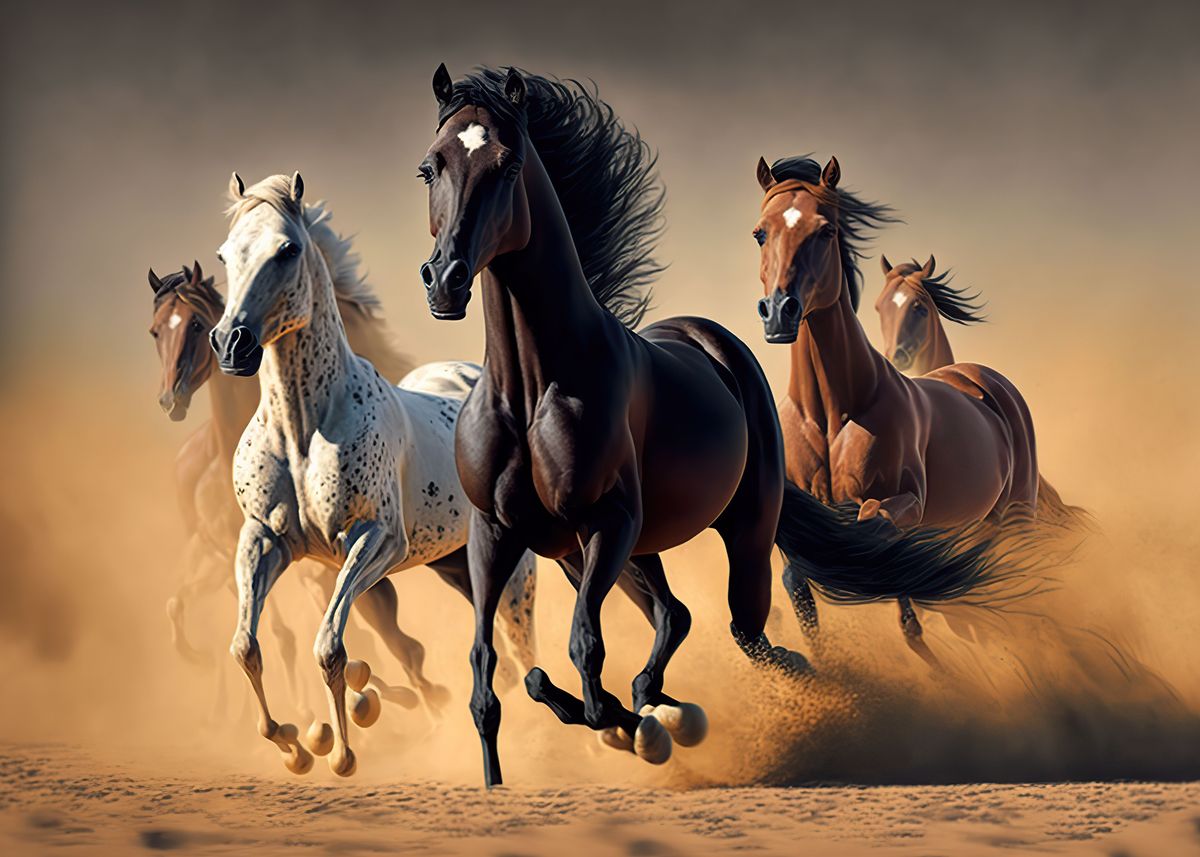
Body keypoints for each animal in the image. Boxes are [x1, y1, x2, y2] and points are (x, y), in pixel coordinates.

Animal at [209, 173, 538, 778]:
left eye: (287, 249)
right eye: (225, 253)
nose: (231, 343)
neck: (304, 430)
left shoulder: (376, 539)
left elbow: (329, 648)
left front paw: (341, 751)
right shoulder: (263, 539)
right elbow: (246, 646)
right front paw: (292, 744)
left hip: (515, 579)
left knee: (524, 652)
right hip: (456, 566)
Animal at [418, 66, 1011, 787]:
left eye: (505, 166)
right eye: (431, 166)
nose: (445, 279)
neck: (533, 388)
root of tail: (710, 335)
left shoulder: (607, 520)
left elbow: (586, 648)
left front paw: (645, 723)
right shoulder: (497, 532)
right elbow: (495, 676)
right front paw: (514, 766)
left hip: (732, 529)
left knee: (747, 633)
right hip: (606, 551)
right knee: (675, 615)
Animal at [752, 154, 1042, 640]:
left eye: (825, 231)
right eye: (760, 232)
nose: (779, 313)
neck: (833, 414)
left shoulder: (907, 502)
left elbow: (875, 535)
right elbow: (799, 581)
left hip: (1018, 514)